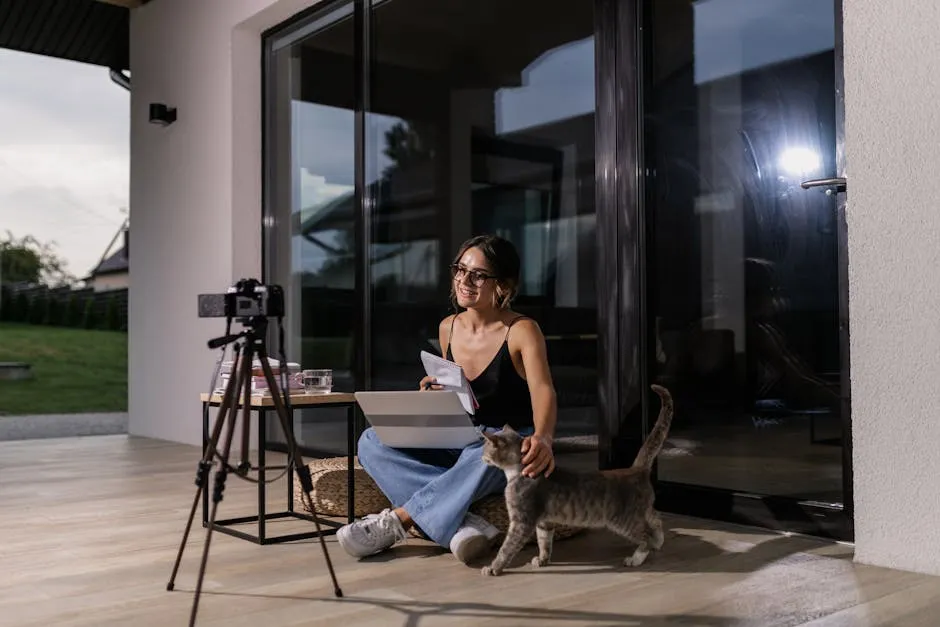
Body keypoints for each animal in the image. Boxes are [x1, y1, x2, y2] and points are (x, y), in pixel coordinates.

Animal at [482, 388, 672, 580]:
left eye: (485, 448)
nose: (482, 457)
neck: (517, 472)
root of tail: (637, 469)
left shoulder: (522, 521)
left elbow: (506, 548)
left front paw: (492, 568)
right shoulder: (544, 521)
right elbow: (544, 540)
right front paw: (543, 560)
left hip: (624, 520)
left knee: (646, 535)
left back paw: (636, 558)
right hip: (641, 510)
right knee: (656, 518)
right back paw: (660, 541)